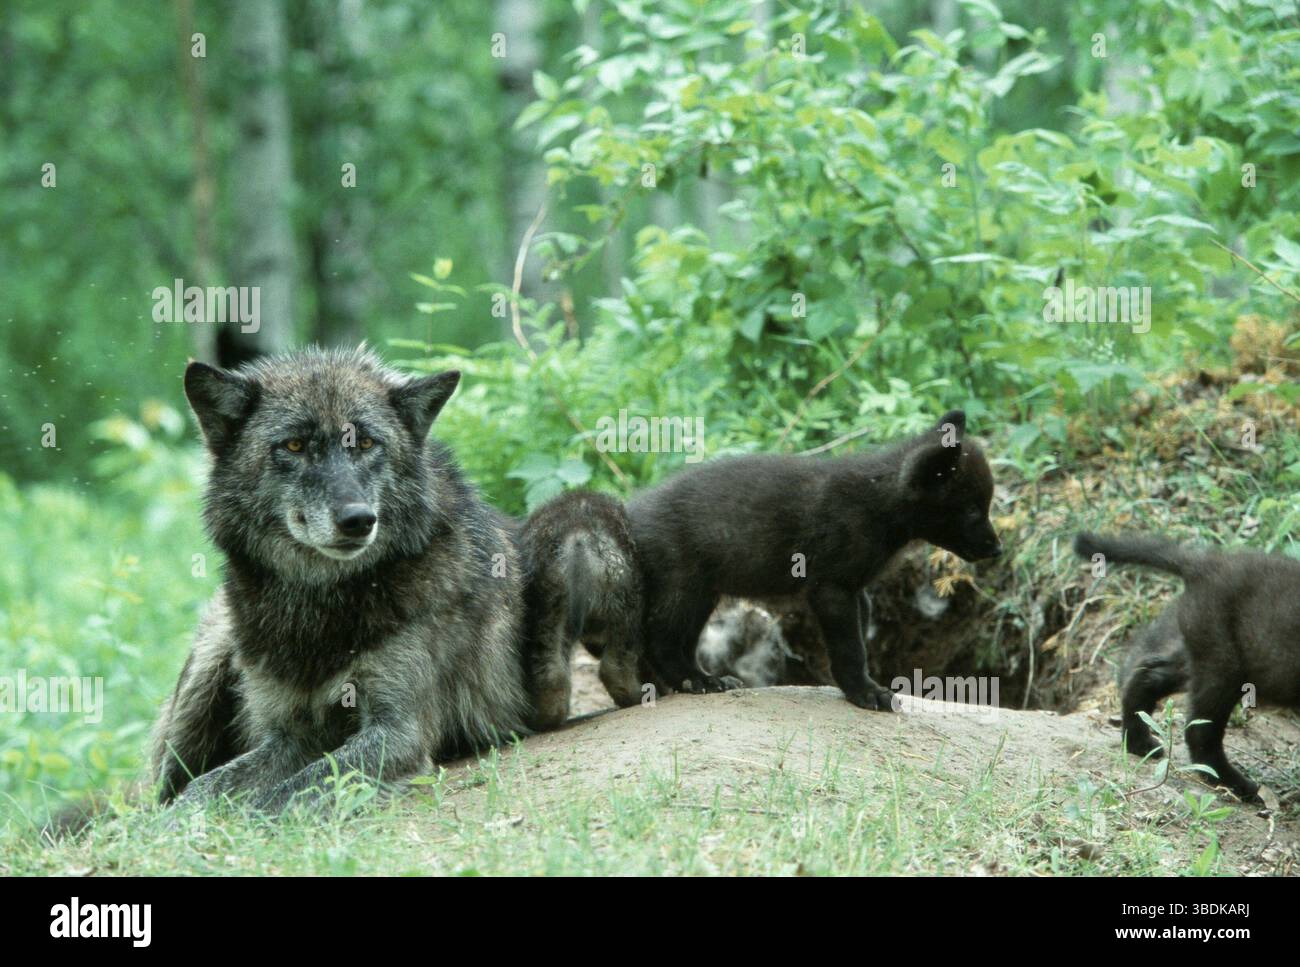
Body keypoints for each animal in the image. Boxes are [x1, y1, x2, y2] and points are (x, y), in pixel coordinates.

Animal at [151, 347, 530, 812]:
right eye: (294, 445)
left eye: (366, 443)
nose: (358, 520)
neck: (320, 601)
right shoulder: (287, 733)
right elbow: (201, 789)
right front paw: (173, 825)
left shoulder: (397, 730)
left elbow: (287, 792)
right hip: (204, 676)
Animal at [519, 490, 647, 729]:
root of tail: (577, 534)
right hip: (625, 600)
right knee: (614, 666)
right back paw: (636, 696)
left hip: (547, 609)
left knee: (550, 671)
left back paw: (549, 717)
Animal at [626, 411, 1001, 709]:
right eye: (973, 510)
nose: (998, 550)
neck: (879, 503)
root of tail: (631, 511)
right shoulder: (832, 588)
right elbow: (850, 649)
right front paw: (865, 694)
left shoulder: (856, 590)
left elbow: (860, 643)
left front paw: (859, 688)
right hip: (683, 589)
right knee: (659, 640)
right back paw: (697, 680)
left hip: (704, 593)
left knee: (680, 642)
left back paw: (703, 678)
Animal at [1075, 532, 1300, 802]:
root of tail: (1204, 563)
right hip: (1222, 666)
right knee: (1200, 733)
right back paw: (1235, 785)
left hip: (1201, 657)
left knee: (1147, 676)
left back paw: (1138, 744)